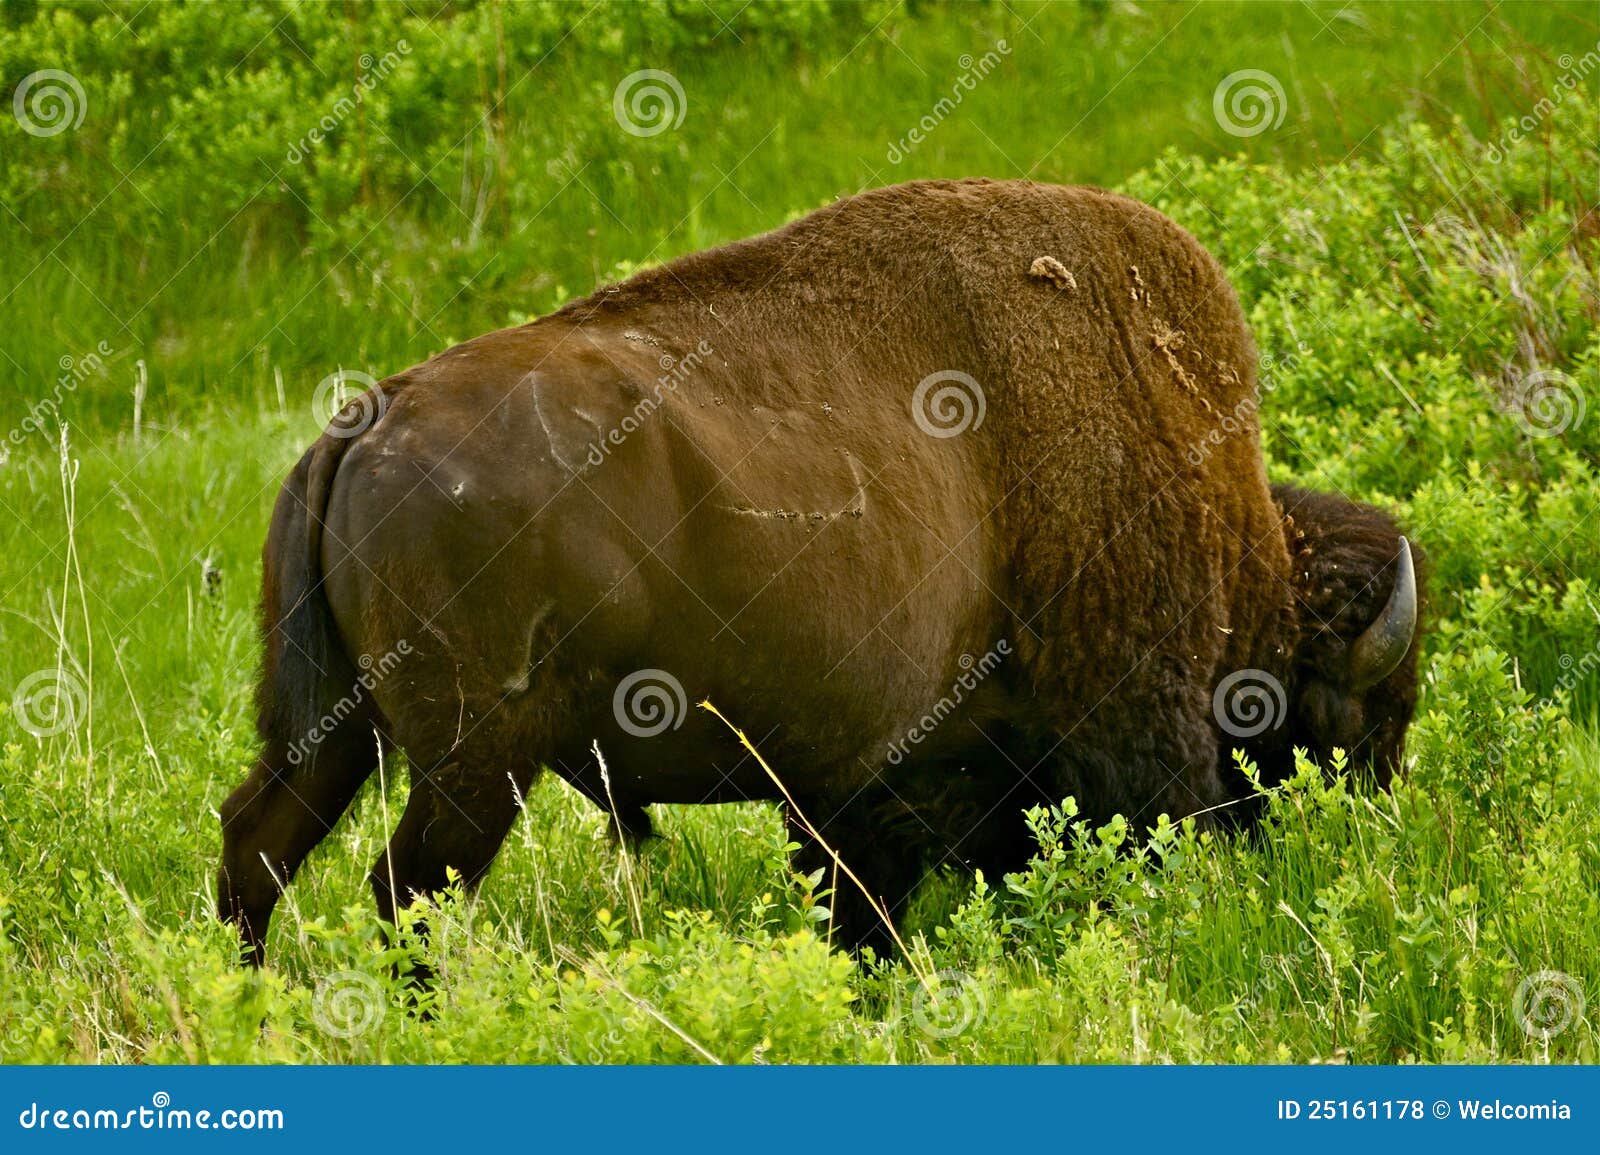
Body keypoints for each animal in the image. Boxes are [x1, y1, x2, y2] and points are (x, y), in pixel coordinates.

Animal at [218, 179, 1422, 960]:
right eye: (1360, 721)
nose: (1358, 841)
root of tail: (368, 421)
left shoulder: (853, 787)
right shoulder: (1123, 732)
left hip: (340, 731)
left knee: (257, 847)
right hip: (475, 760)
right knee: (403, 892)